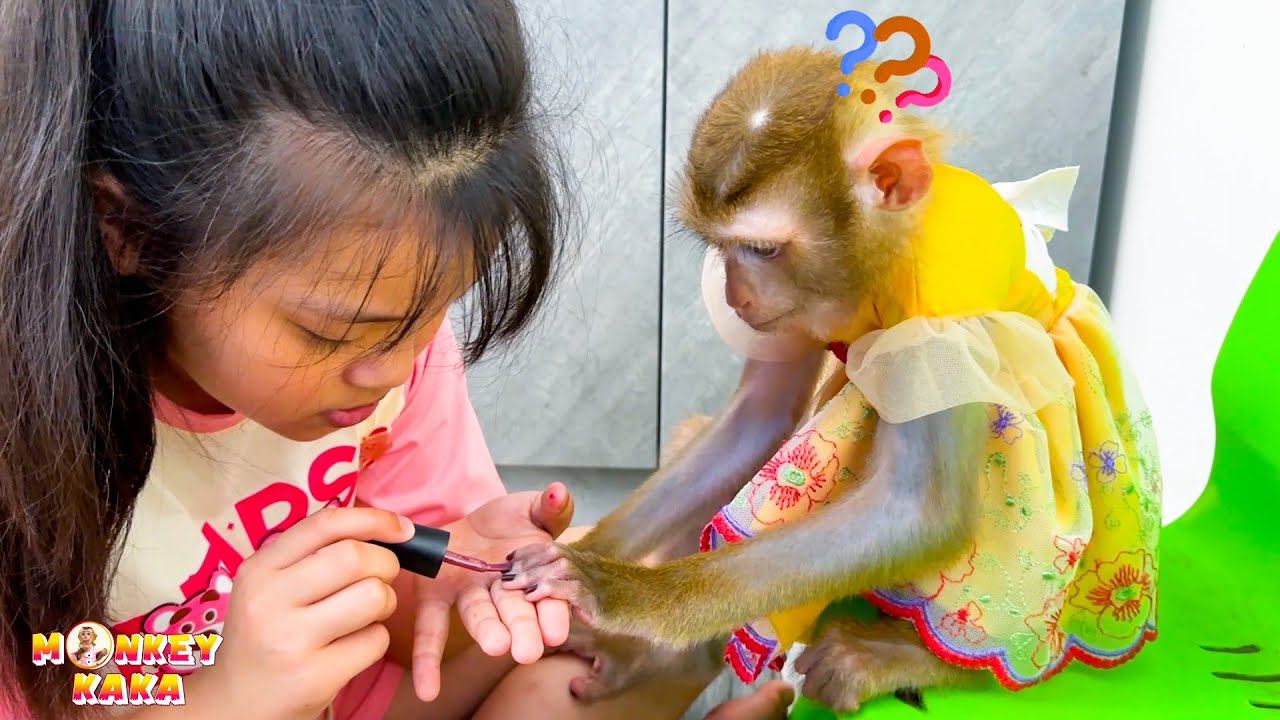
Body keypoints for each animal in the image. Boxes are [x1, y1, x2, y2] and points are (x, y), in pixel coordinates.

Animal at [504, 46, 1162, 712]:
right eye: (722, 248)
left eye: (763, 249)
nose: (734, 294)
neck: (882, 259)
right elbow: (757, 420)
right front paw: (573, 553)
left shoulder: (939, 309)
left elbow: (914, 511)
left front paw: (622, 595)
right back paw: (654, 662)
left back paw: (929, 661)